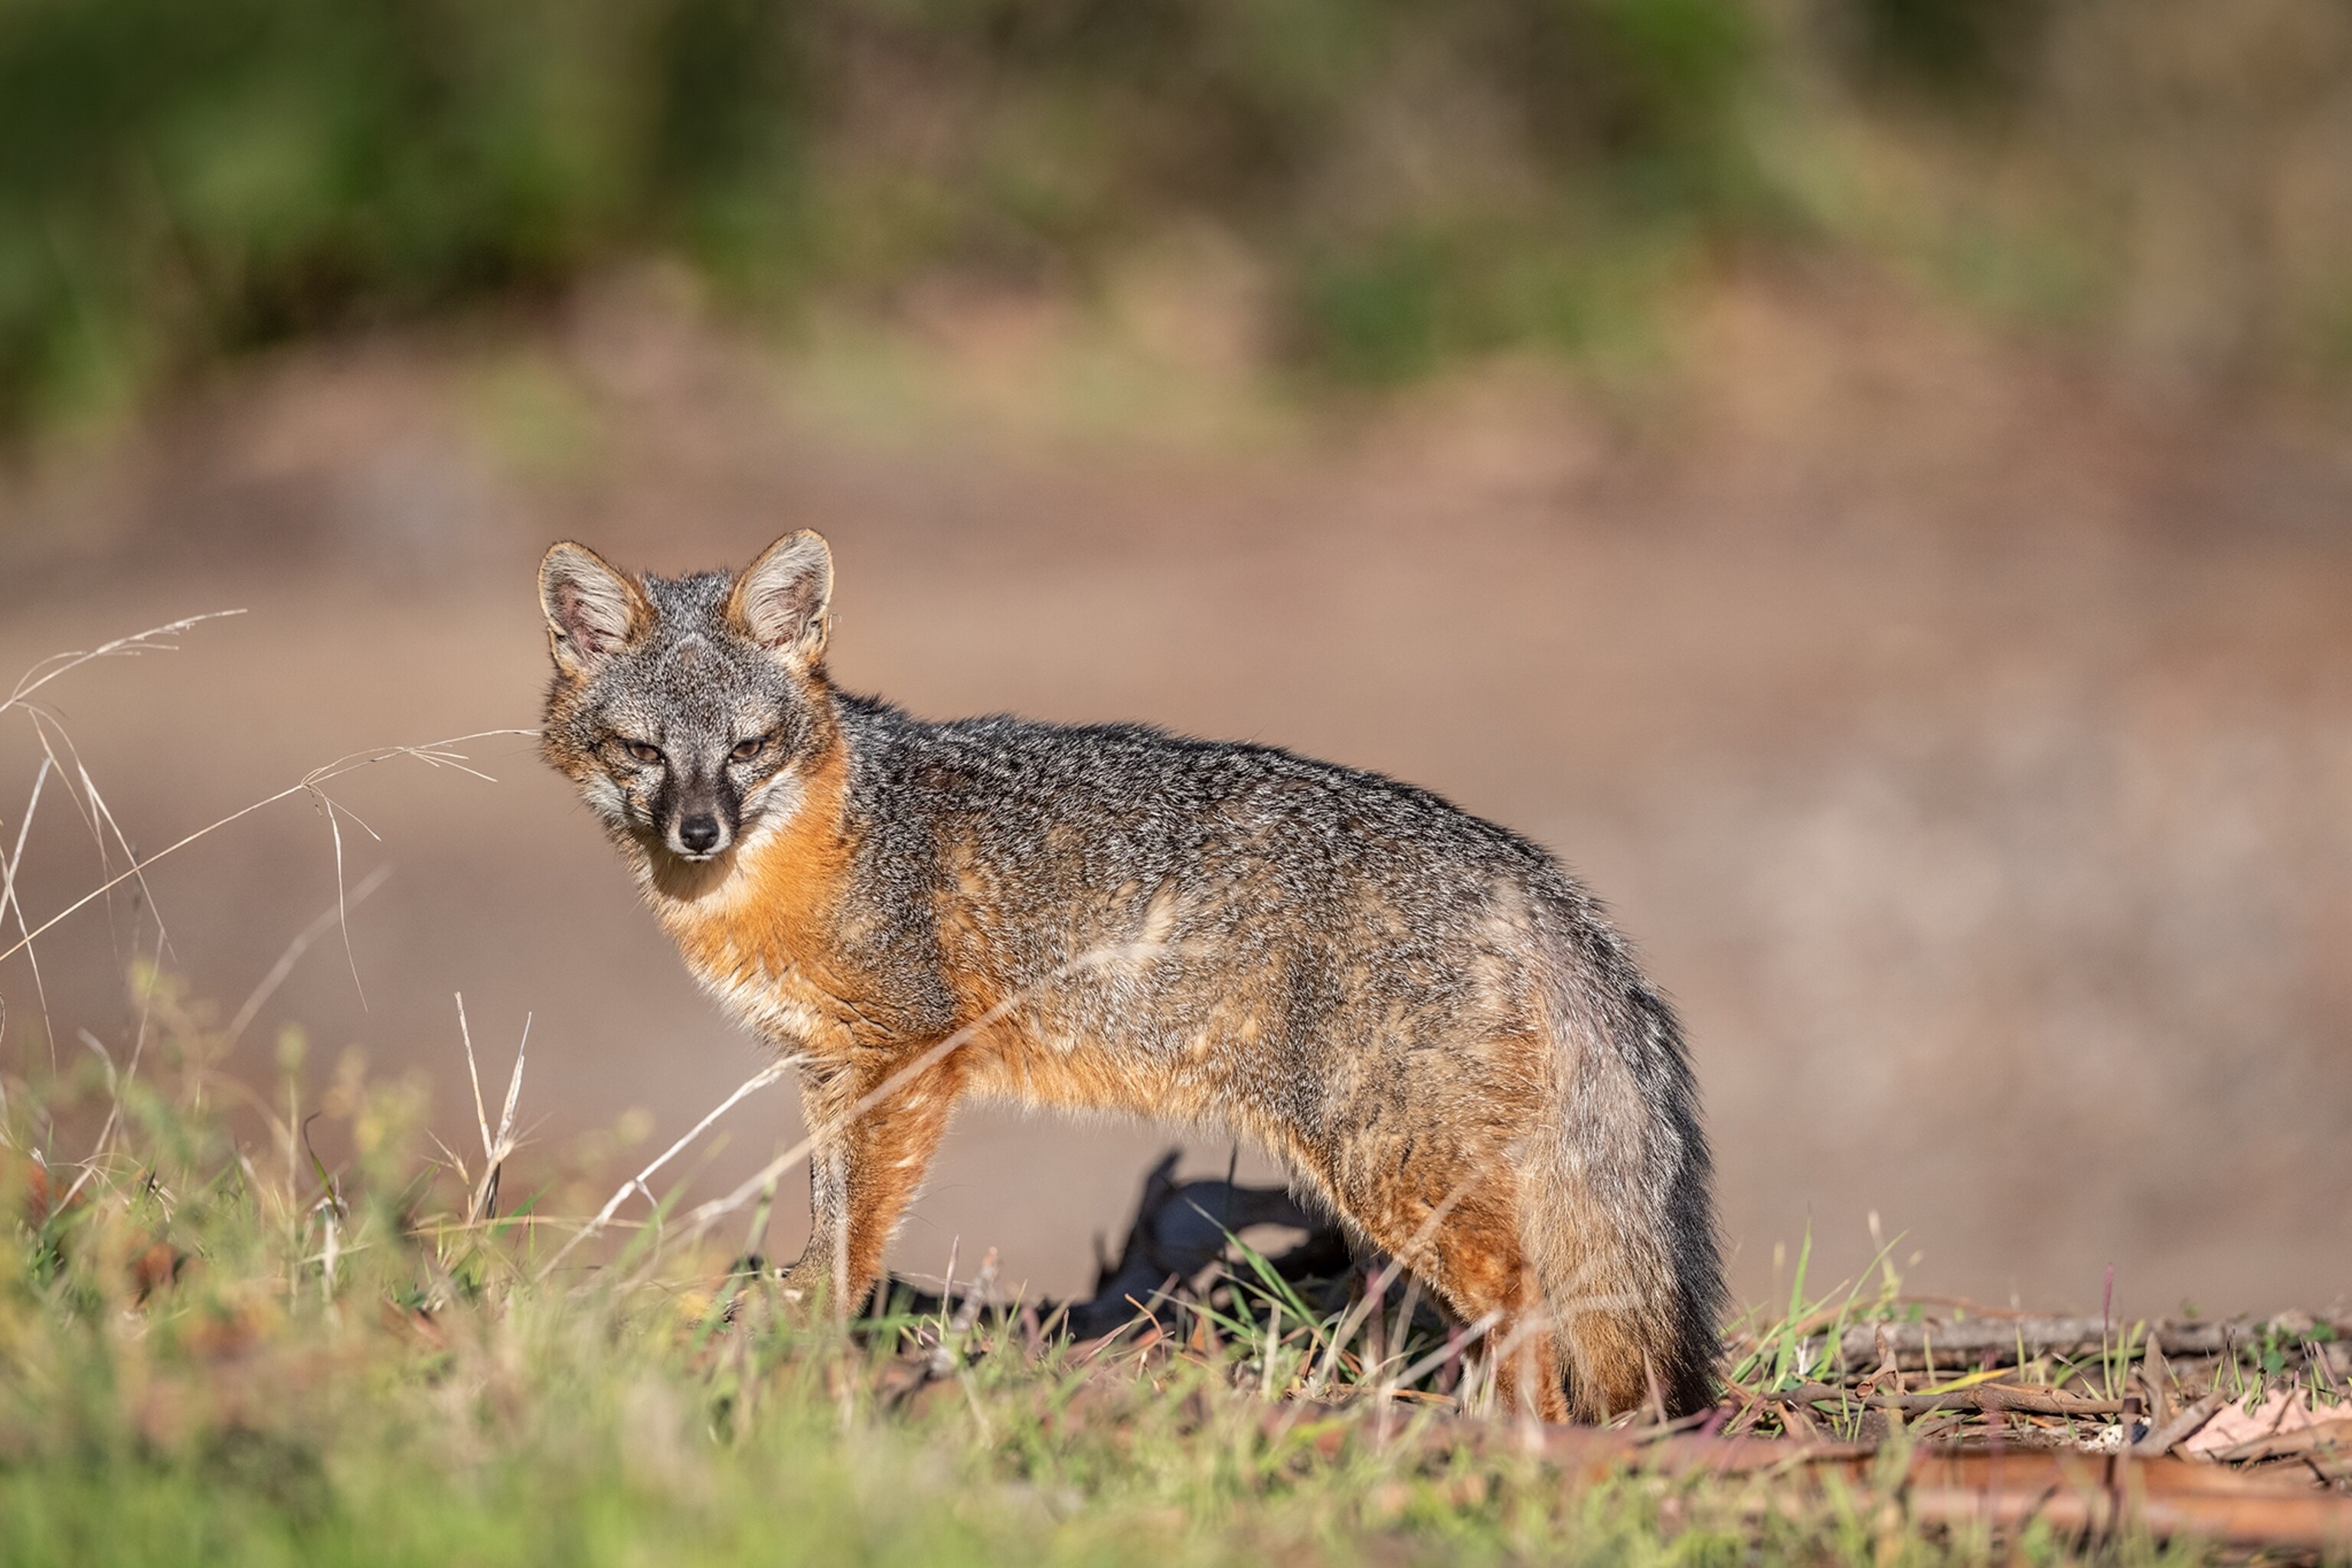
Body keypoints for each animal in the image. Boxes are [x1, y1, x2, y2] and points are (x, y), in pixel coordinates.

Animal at [537, 530, 1723, 1421]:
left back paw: (1520, 1440)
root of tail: (1523, 865)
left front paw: (817, 1345)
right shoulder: (828, 1074)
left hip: (1387, 1165)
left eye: (747, 749)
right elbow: (826, 1217)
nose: (698, 830)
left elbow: (857, 1236)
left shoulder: (905, 1062)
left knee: (1525, 1294)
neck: (821, 842)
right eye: (641, 751)